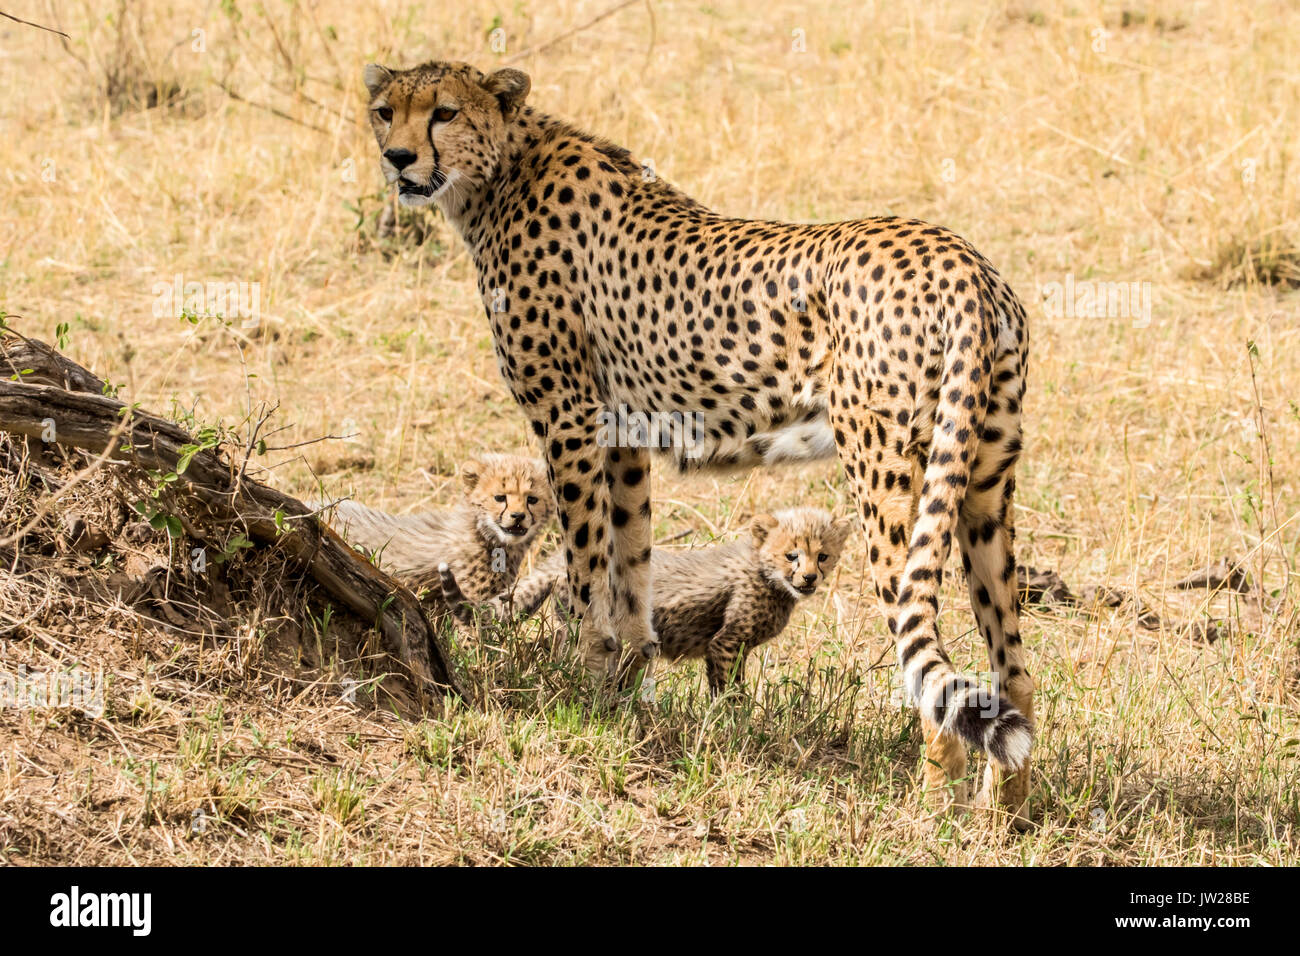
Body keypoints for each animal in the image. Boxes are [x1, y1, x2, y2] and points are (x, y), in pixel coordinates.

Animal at [439, 508, 852, 695]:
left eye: (823, 556)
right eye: (792, 556)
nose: (810, 578)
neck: (767, 575)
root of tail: (559, 560)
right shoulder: (725, 643)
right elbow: (728, 690)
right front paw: (737, 719)